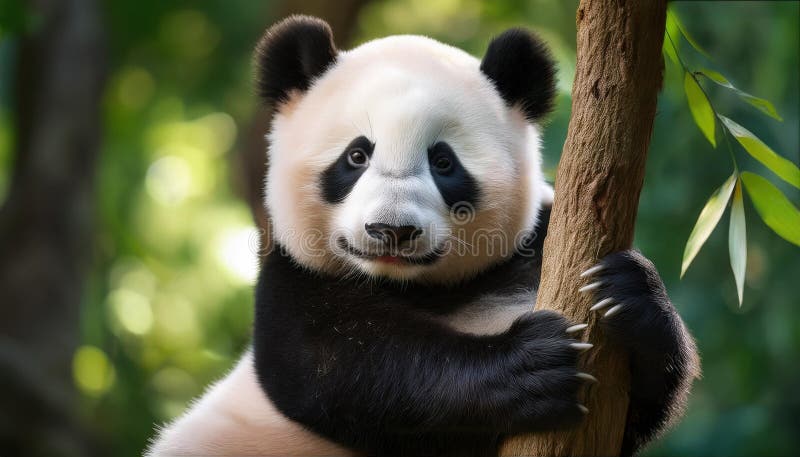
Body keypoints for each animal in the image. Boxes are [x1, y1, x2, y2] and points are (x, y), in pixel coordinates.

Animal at [147, 15, 699, 457]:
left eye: (443, 161)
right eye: (356, 155)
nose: (392, 230)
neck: (417, 287)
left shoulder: (535, 246)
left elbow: (627, 416)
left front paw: (627, 294)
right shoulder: (294, 279)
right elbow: (343, 367)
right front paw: (532, 365)